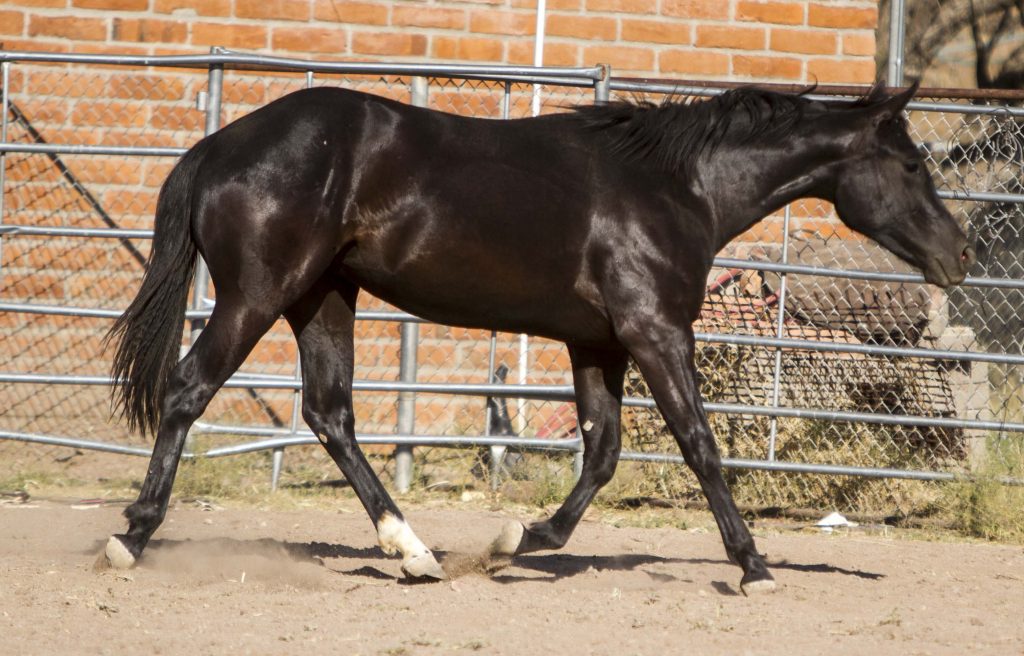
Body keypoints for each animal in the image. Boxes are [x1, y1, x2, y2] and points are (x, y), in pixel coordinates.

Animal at [100, 80, 974, 594]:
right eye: (910, 164)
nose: (959, 255)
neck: (674, 187)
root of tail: (217, 145)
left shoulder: (600, 344)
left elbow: (604, 450)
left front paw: (517, 540)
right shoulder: (657, 332)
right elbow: (697, 443)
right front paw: (753, 566)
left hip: (324, 297)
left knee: (330, 413)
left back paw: (415, 552)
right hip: (259, 295)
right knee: (191, 388)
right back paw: (132, 537)